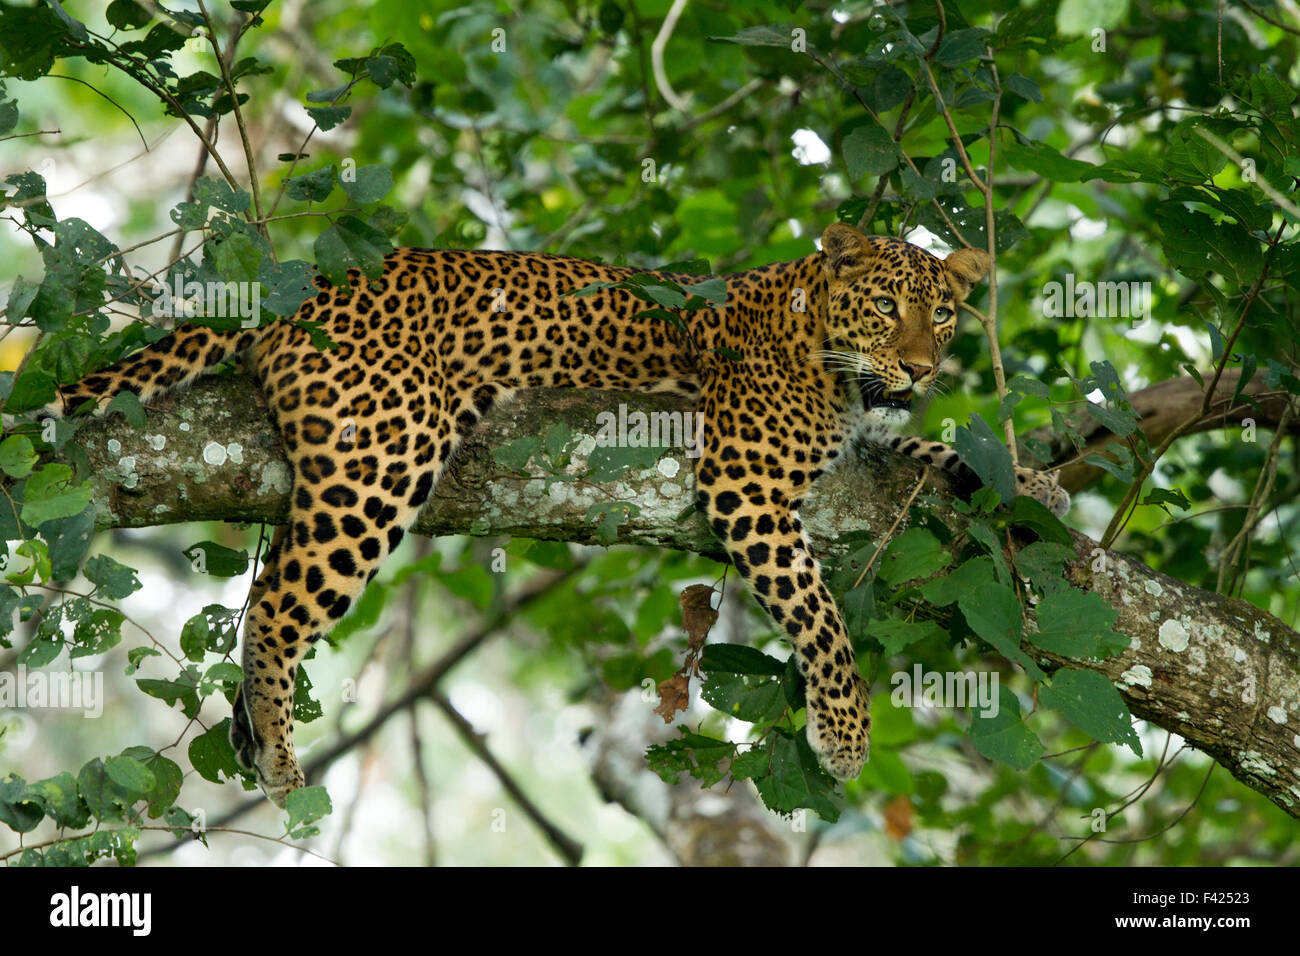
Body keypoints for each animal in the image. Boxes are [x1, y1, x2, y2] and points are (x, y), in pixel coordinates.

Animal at [47, 222, 1069, 807]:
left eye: (944, 317)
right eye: (887, 304)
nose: (922, 369)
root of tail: (303, 282)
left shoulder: (864, 445)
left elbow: (930, 453)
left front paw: (1032, 487)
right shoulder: (748, 482)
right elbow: (822, 620)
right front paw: (846, 734)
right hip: (383, 460)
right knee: (273, 609)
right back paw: (282, 758)